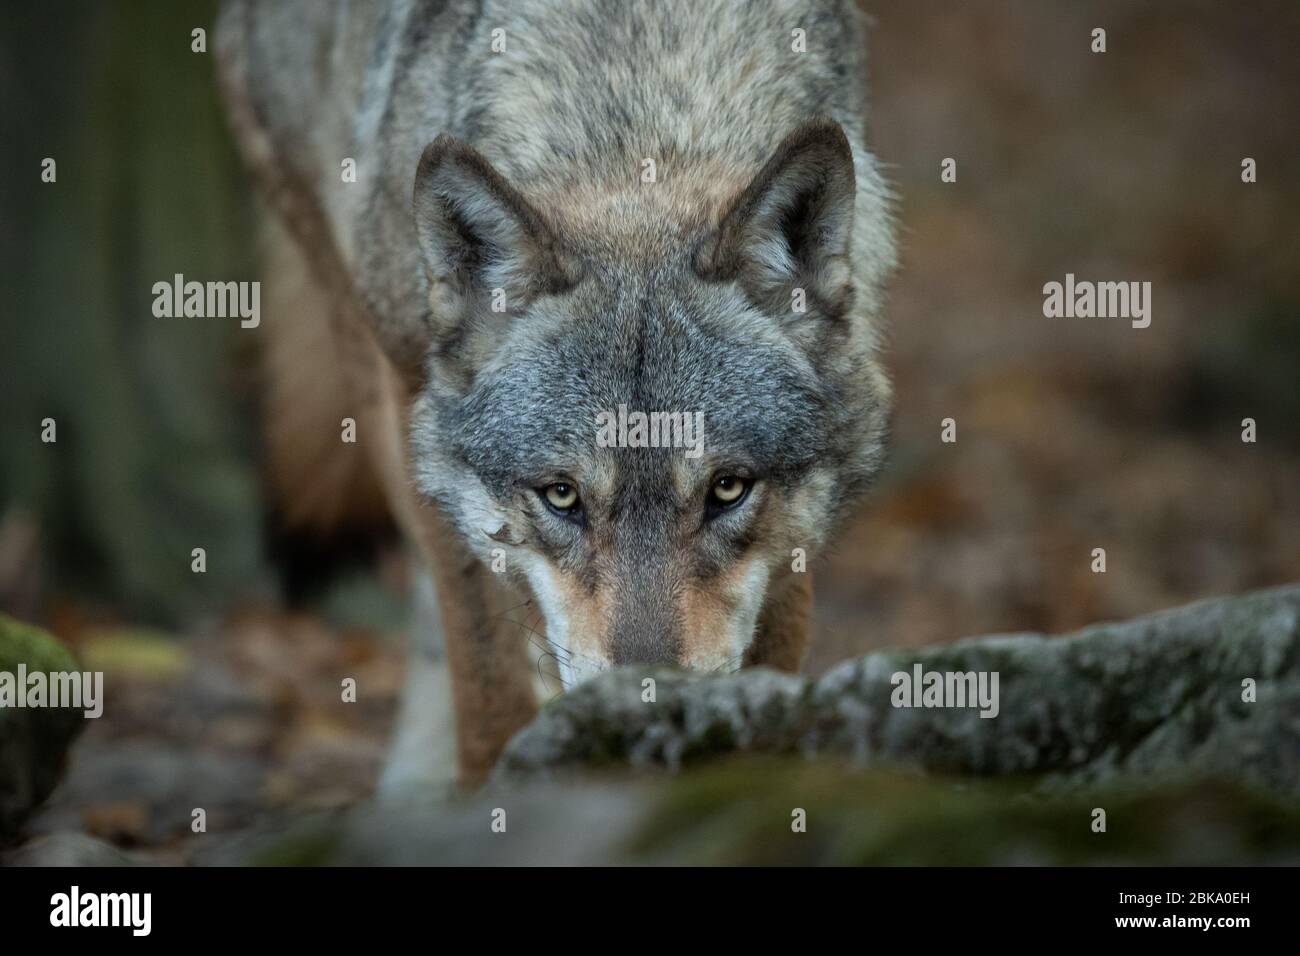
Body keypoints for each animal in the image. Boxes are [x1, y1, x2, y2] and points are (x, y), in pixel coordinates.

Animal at [215, 0, 896, 789]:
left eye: (727, 489)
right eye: (562, 496)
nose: (644, 707)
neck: (636, 105)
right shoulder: (410, 408)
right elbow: (486, 681)